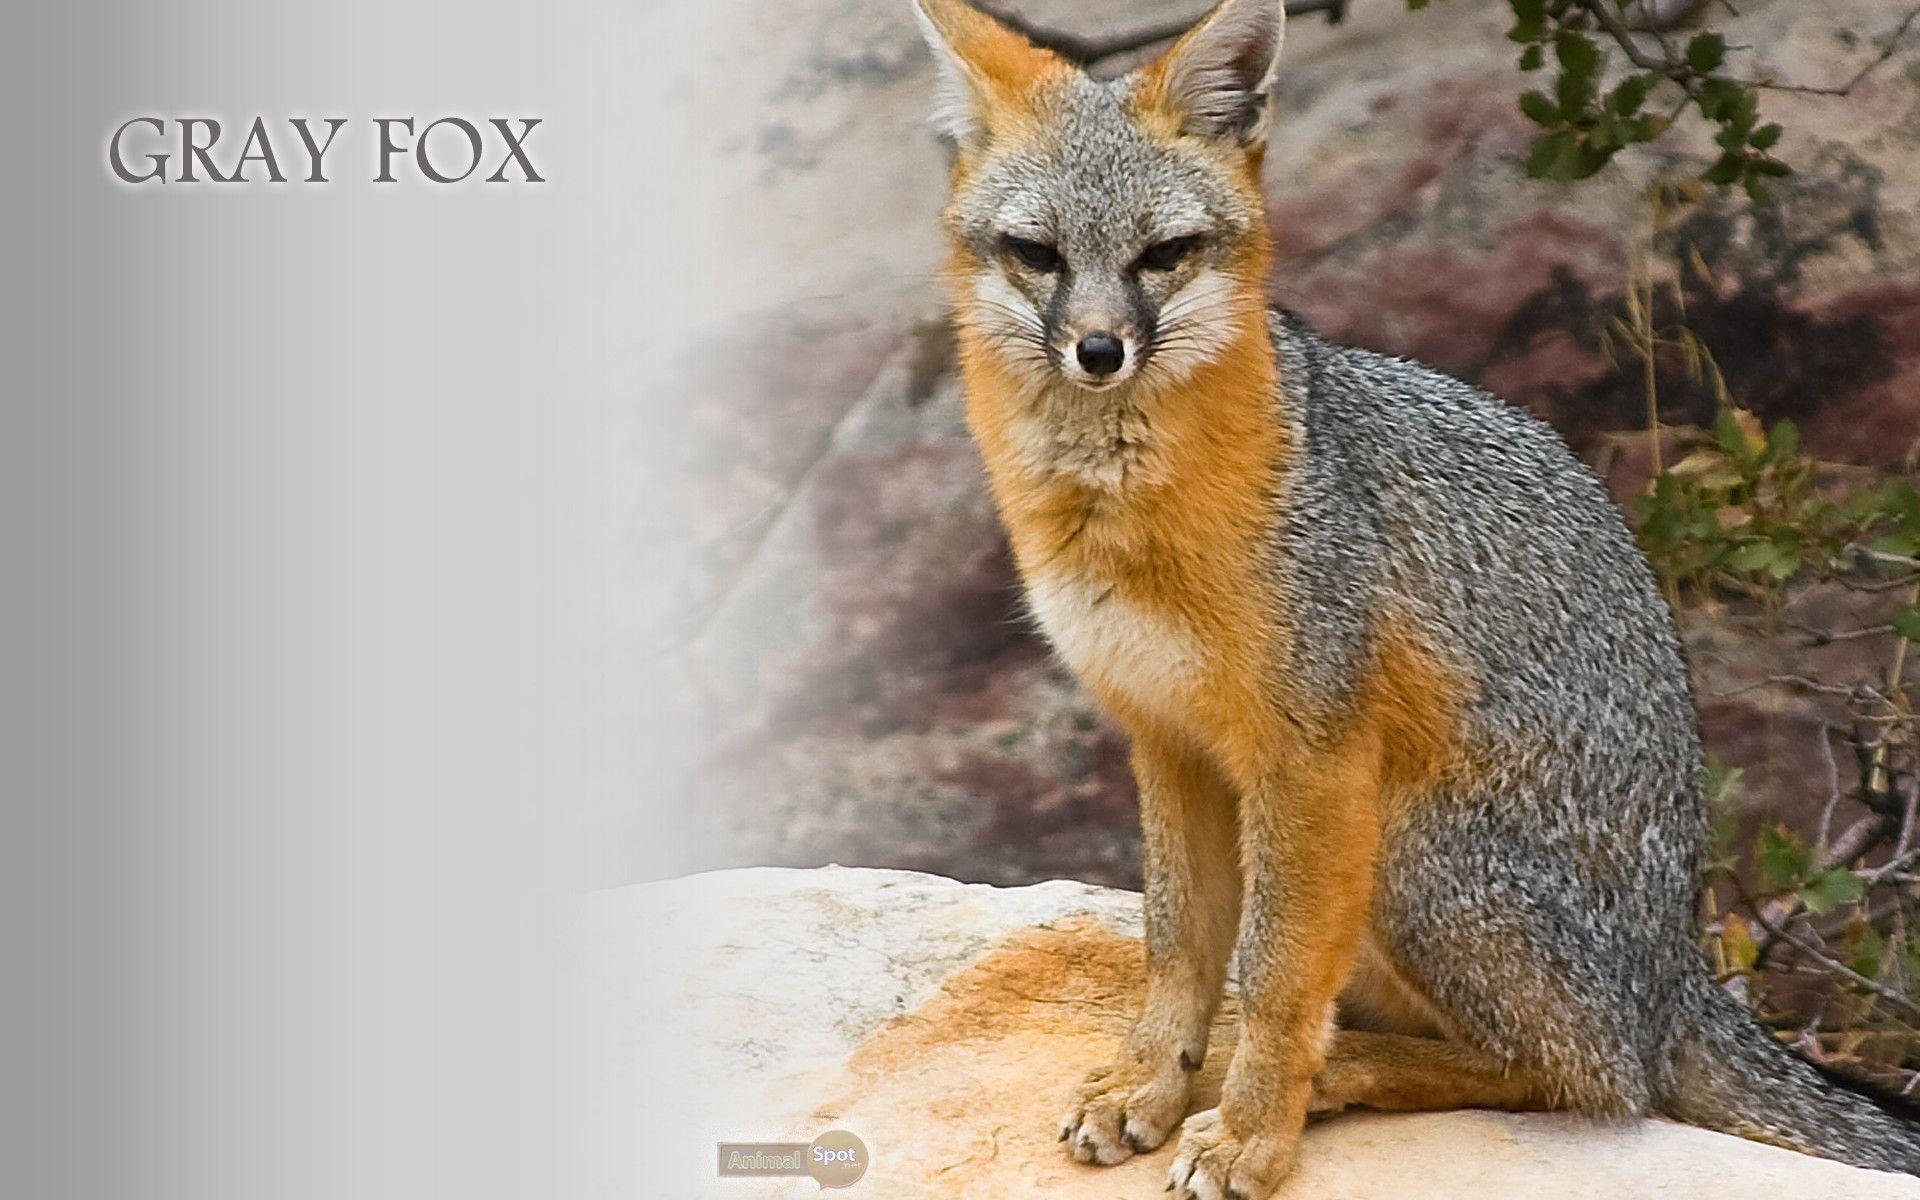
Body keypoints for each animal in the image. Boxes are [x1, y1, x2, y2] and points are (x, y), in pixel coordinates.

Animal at [910, 0, 1920, 1196]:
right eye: (1038, 255)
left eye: (1164, 255)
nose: (1099, 351)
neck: (1128, 517)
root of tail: (1677, 973)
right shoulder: (1165, 734)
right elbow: (1177, 945)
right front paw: (1151, 1081)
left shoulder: (1310, 753)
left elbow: (1271, 974)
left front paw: (1251, 1133)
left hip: (1399, 845)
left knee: (1593, 1081)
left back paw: (1338, 1074)